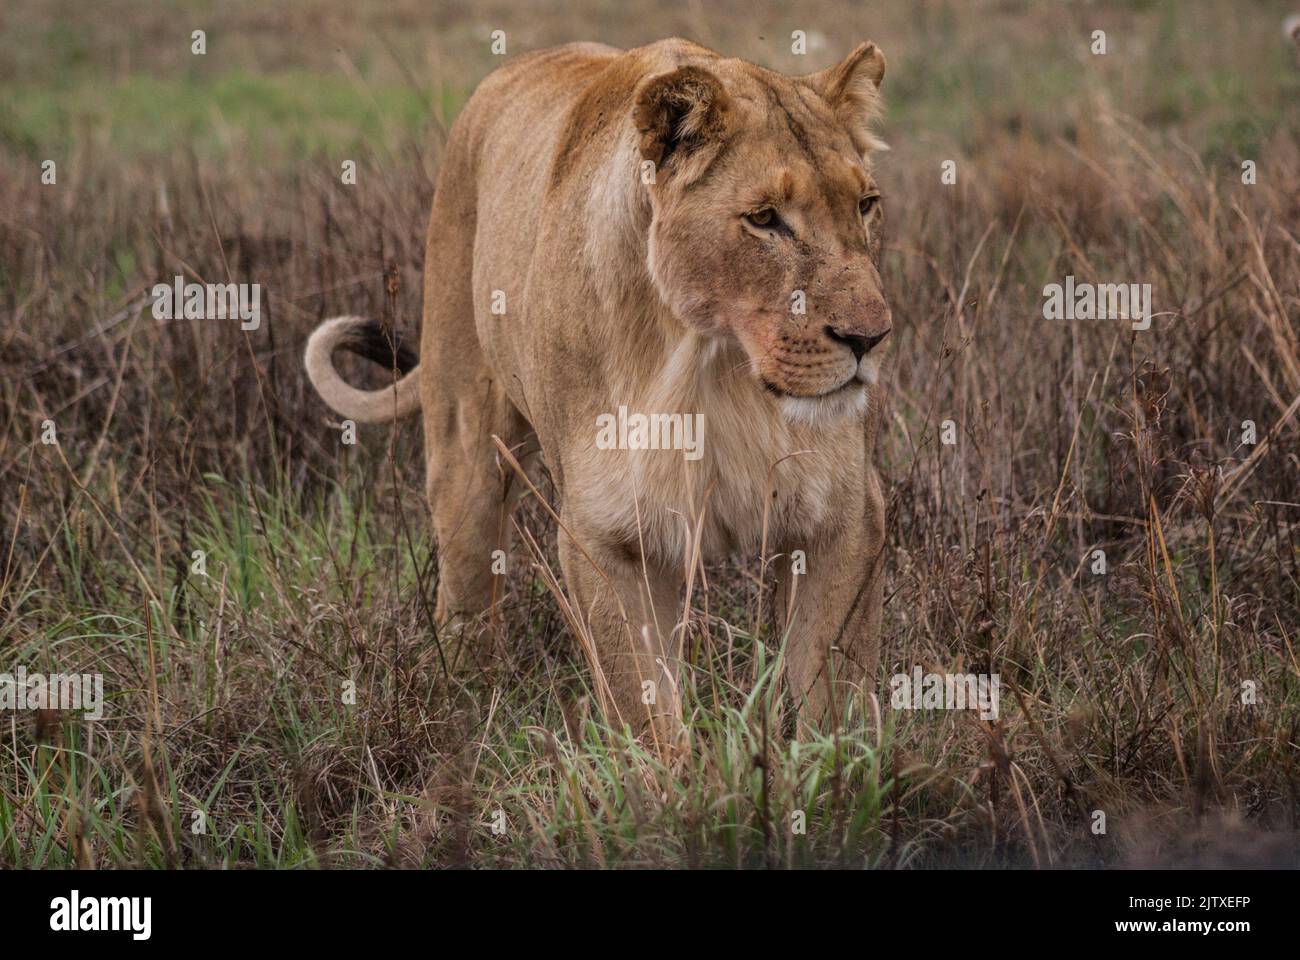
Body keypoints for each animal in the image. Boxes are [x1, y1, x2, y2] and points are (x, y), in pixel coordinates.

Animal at [304, 38, 892, 743]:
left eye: (865, 204)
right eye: (764, 219)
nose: (871, 338)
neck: (716, 363)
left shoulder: (847, 515)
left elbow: (829, 695)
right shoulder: (605, 534)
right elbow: (645, 709)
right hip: (463, 441)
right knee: (467, 585)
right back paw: (463, 713)